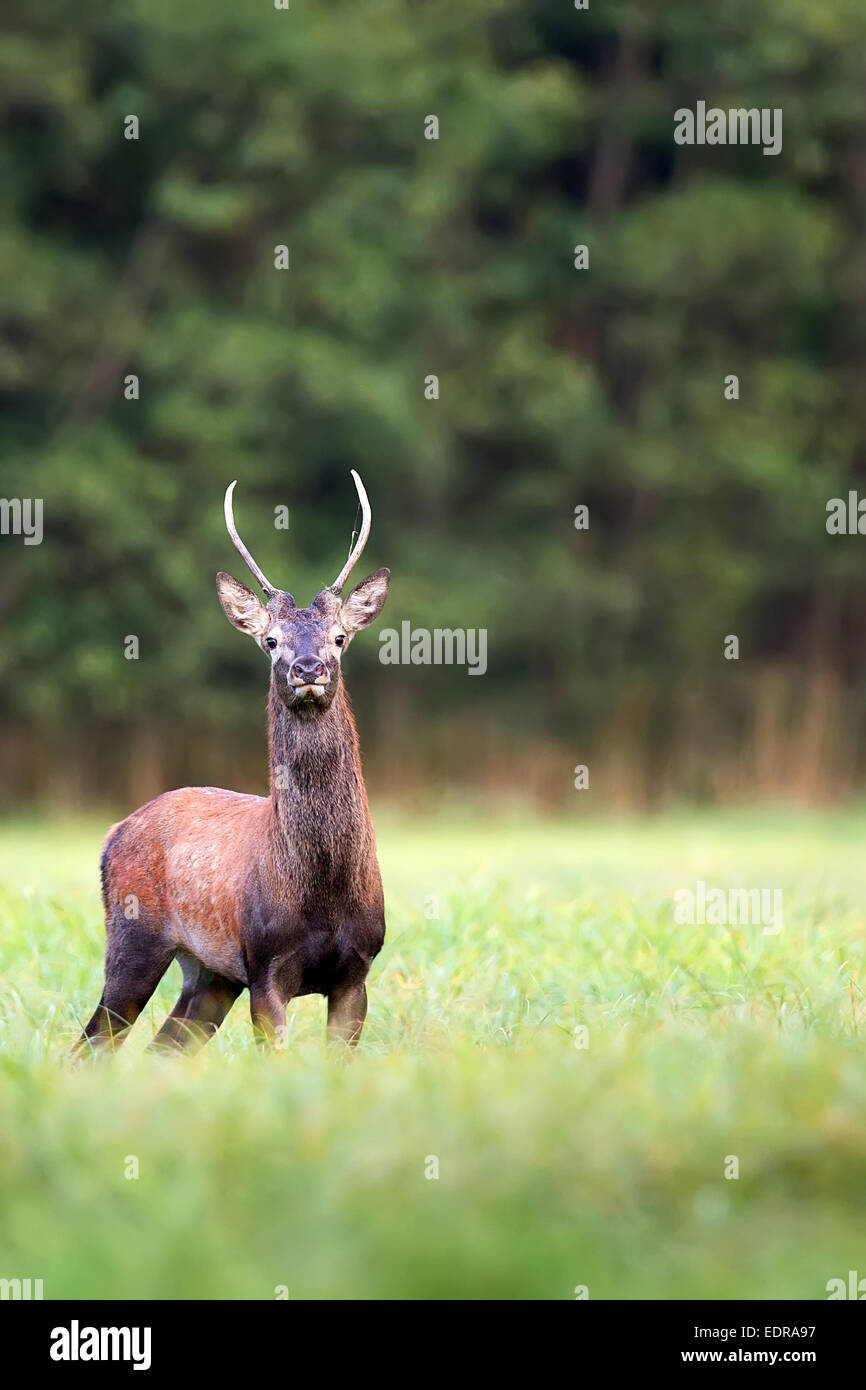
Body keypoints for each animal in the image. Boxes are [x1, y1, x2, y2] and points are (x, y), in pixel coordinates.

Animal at [75, 471, 390, 1056]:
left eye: (339, 637)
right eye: (271, 640)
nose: (307, 668)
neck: (323, 890)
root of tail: (113, 833)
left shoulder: (358, 971)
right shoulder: (264, 965)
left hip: (209, 972)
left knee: (164, 1046)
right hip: (134, 938)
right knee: (90, 1045)